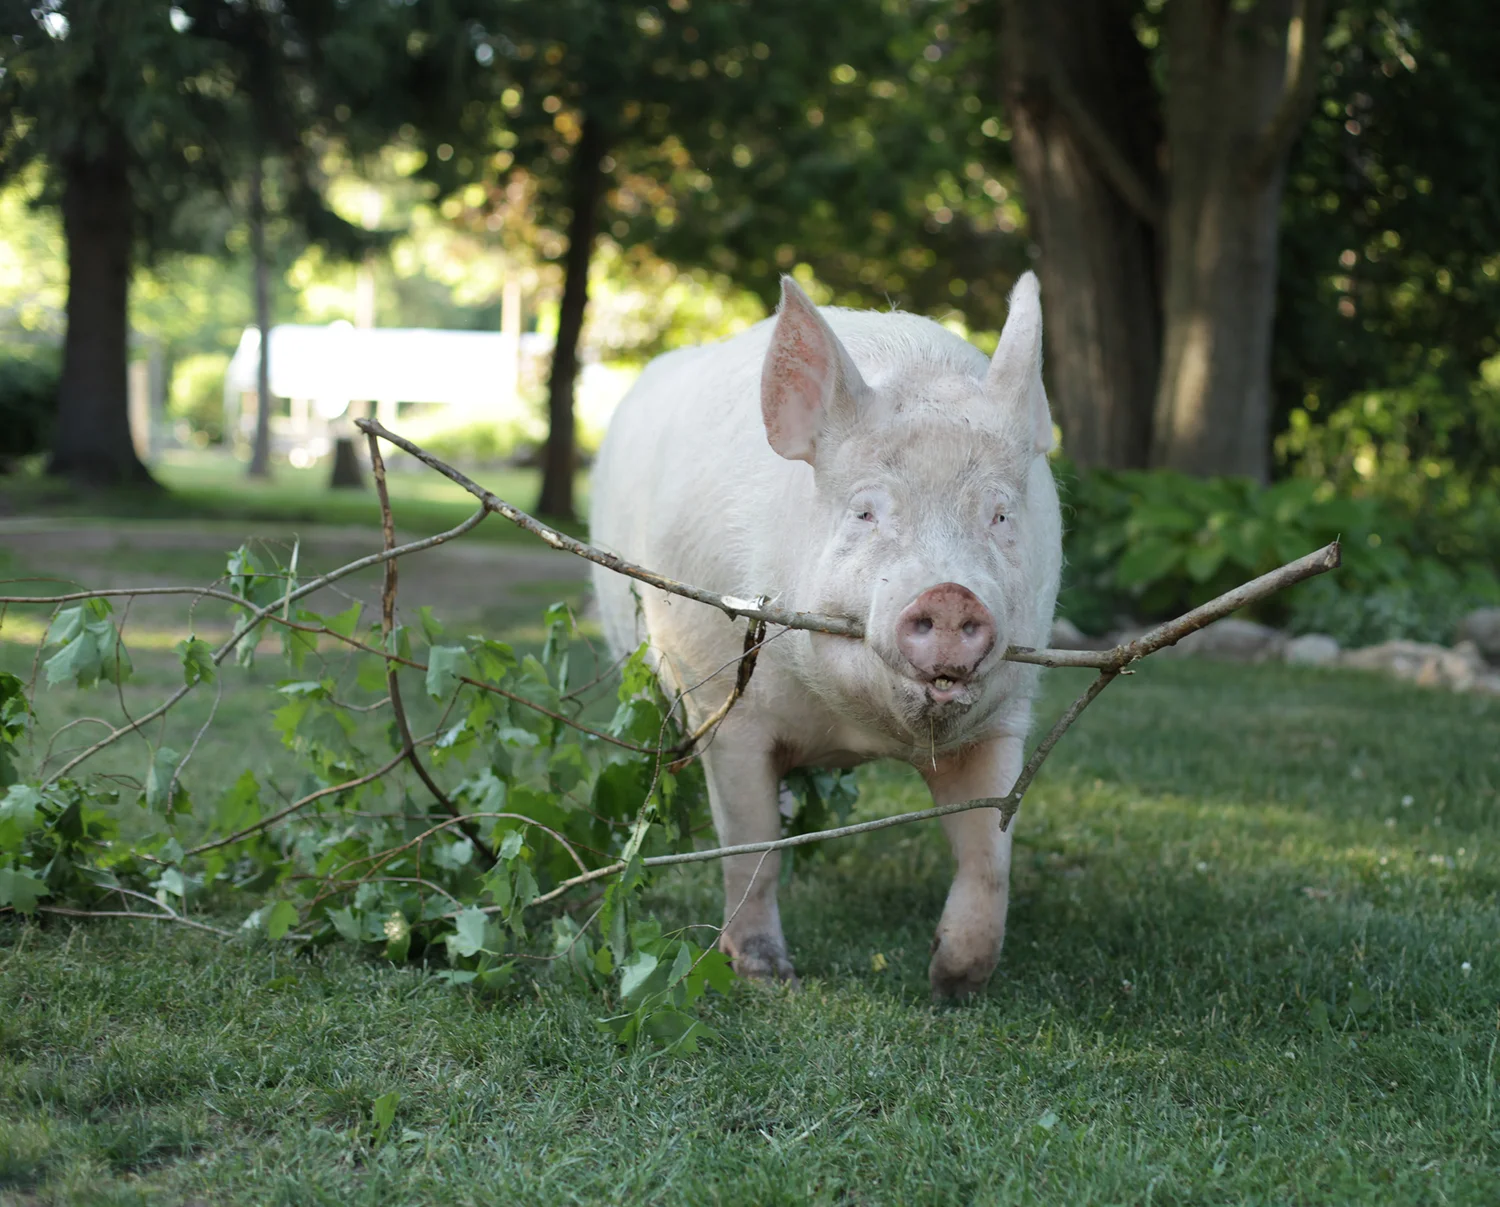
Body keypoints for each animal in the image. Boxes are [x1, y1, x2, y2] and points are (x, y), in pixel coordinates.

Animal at [588, 272, 1061, 999]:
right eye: (864, 512)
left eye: (1000, 514)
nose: (949, 595)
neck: (856, 735)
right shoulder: (726, 705)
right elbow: (750, 846)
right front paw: (767, 977)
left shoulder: (1001, 721)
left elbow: (989, 855)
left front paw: (952, 983)